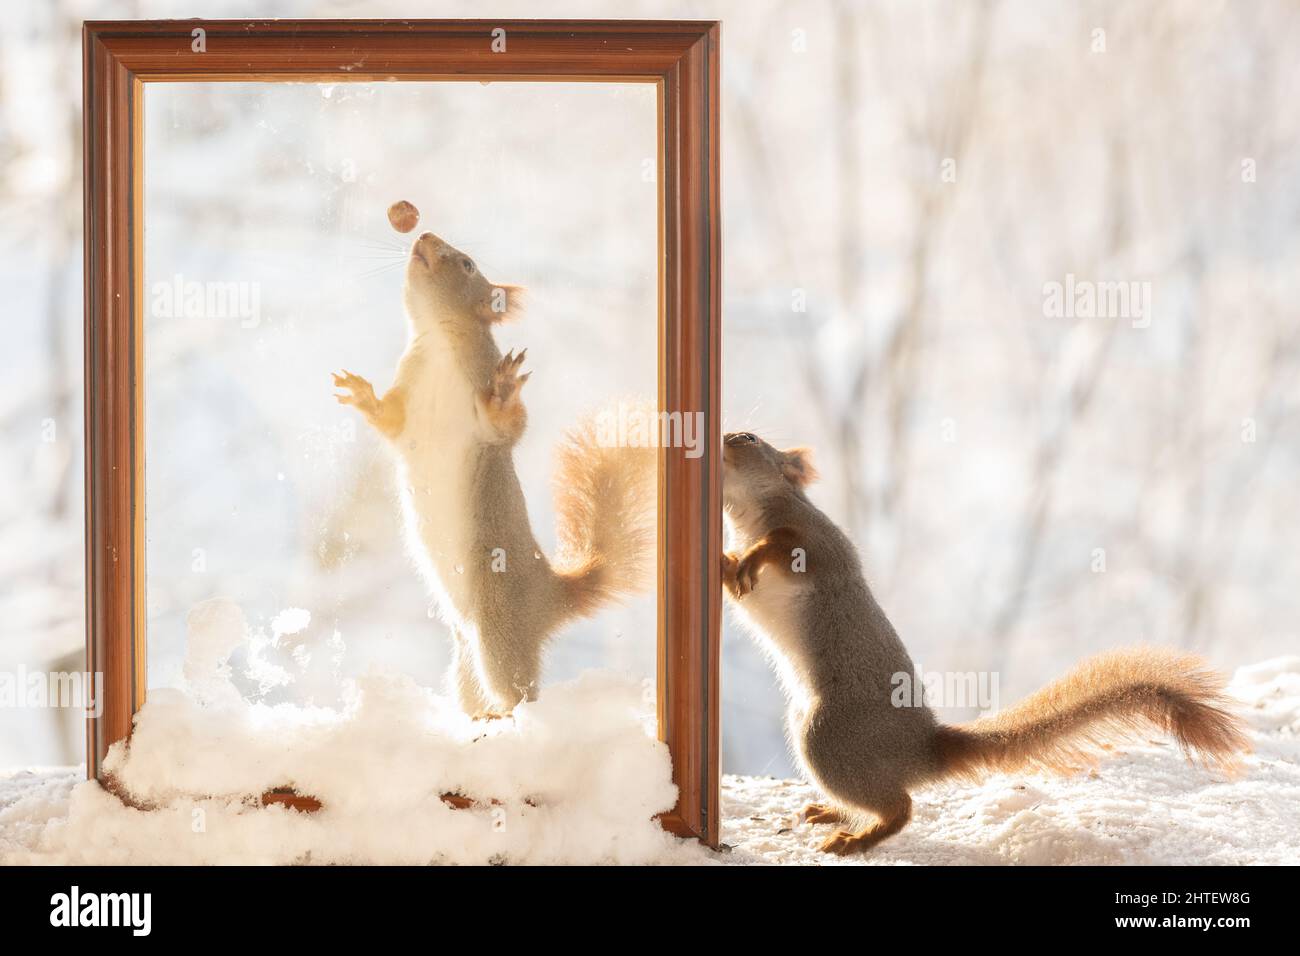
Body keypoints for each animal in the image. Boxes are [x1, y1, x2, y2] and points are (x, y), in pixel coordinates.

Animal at [333, 229, 654, 717]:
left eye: (467, 264)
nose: (424, 235)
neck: (439, 340)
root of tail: (548, 597)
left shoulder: (482, 399)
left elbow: (506, 429)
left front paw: (504, 392)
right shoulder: (404, 401)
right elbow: (387, 422)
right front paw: (359, 393)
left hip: (498, 626)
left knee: (521, 691)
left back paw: (506, 717)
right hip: (467, 653)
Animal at [719, 430, 1250, 856]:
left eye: (748, 438)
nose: (723, 434)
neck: (748, 514)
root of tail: (923, 749)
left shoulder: (822, 545)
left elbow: (785, 545)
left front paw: (753, 555)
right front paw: (728, 560)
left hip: (828, 735)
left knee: (901, 806)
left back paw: (857, 838)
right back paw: (833, 814)